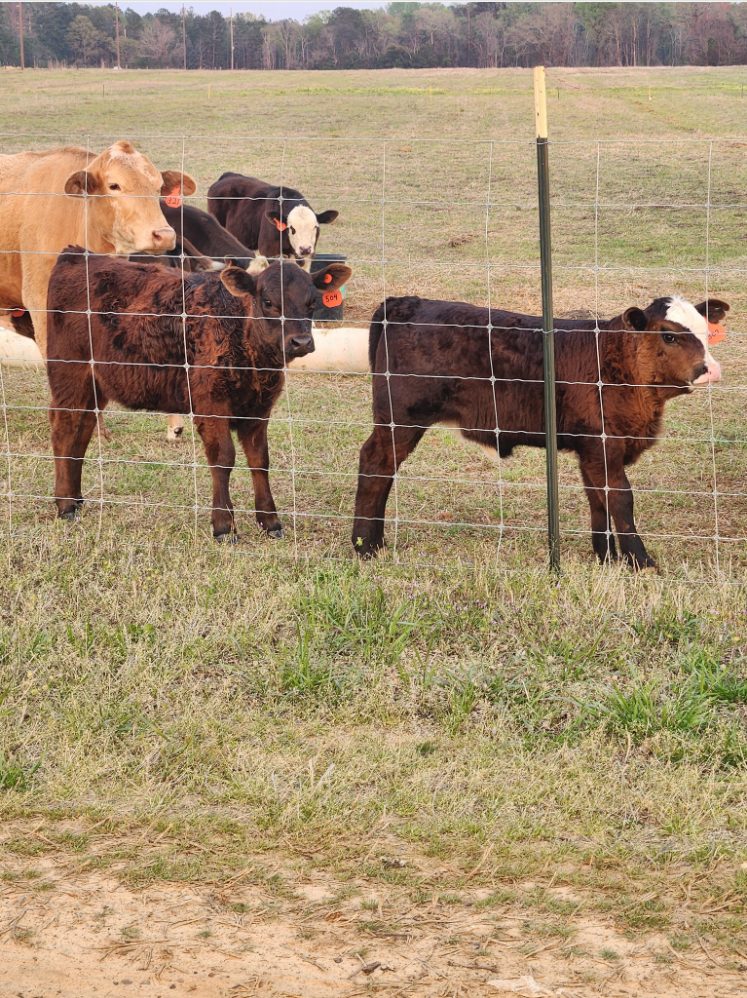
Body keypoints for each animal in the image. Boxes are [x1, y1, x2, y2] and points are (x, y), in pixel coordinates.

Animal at [47, 248, 352, 542]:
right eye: (267, 301)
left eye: (312, 303)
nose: (301, 341)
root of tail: (77, 255)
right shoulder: (211, 404)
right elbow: (223, 458)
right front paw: (224, 525)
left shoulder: (259, 409)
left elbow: (260, 460)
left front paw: (270, 521)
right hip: (70, 375)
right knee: (64, 430)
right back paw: (65, 505)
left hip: (94, 387)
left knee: (82, 430)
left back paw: (76, 498)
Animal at [207, 172, 338, 272]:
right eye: (292, 228)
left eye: (315, 227)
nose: (305, 248)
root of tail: (227, 175)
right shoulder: (269, 252)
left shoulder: (308, 257)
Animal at [351, 295, 728, 570]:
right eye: (669, 334)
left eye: (706, 333)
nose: (711, 369)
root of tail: (406, 302)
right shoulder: (603, 446)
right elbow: (621, 498)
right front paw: (641, 560)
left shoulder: (591, 450)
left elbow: (598, 499)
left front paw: (606, 557)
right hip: (400, 420)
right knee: (375, 464)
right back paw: (364, 545)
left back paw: (375, 542)